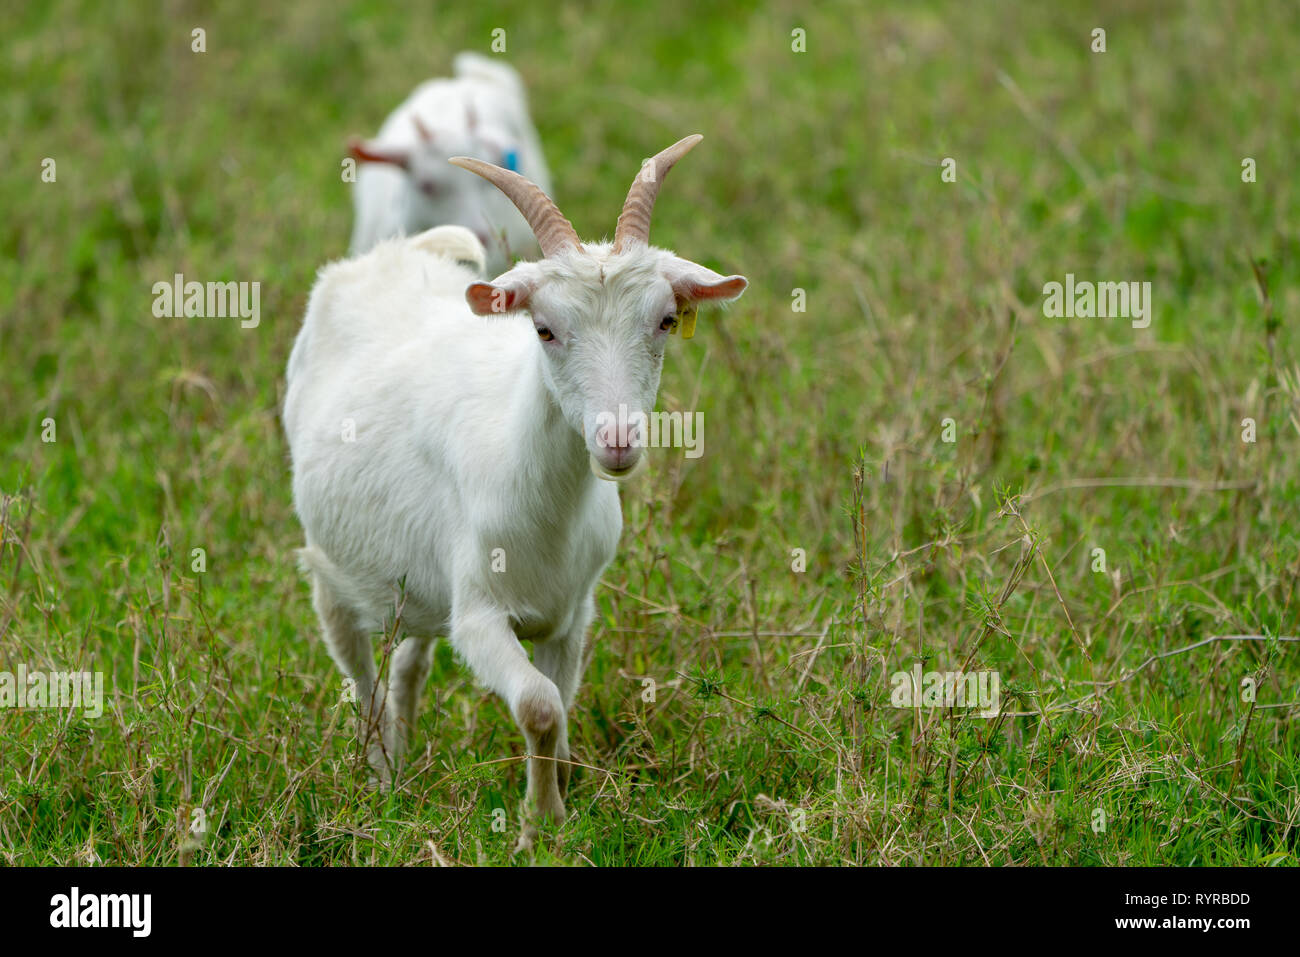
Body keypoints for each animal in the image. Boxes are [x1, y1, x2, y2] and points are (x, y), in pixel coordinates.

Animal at [284, 135, 747, 850]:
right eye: (544, 329)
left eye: (667, 320)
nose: (617, 440)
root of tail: (399, 253)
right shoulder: (478, 614)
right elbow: (538, 706)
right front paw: (539, 826)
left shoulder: (573, 610)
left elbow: (561, 707)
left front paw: (561, 802)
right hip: (330, 572)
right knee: (361, 675)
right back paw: (381, 779)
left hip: (418, 586)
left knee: (408, 666)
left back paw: (407, 762)